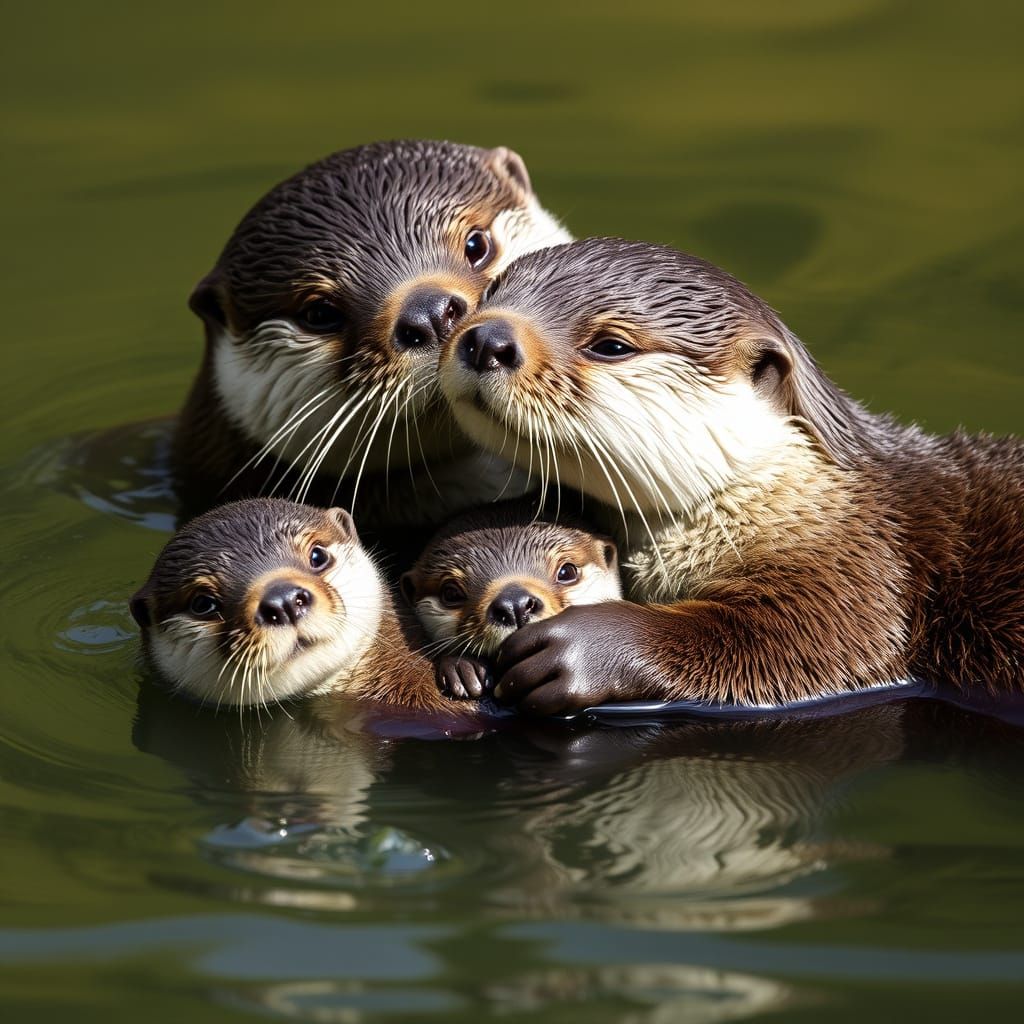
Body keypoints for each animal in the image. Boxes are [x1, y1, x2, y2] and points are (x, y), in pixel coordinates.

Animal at [438, 237, 1024, 714]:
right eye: (490, 294)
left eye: (611, 345)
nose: (485, 338)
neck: (798, 502)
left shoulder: (867, 574)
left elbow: (808, 647)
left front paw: (584, 647)